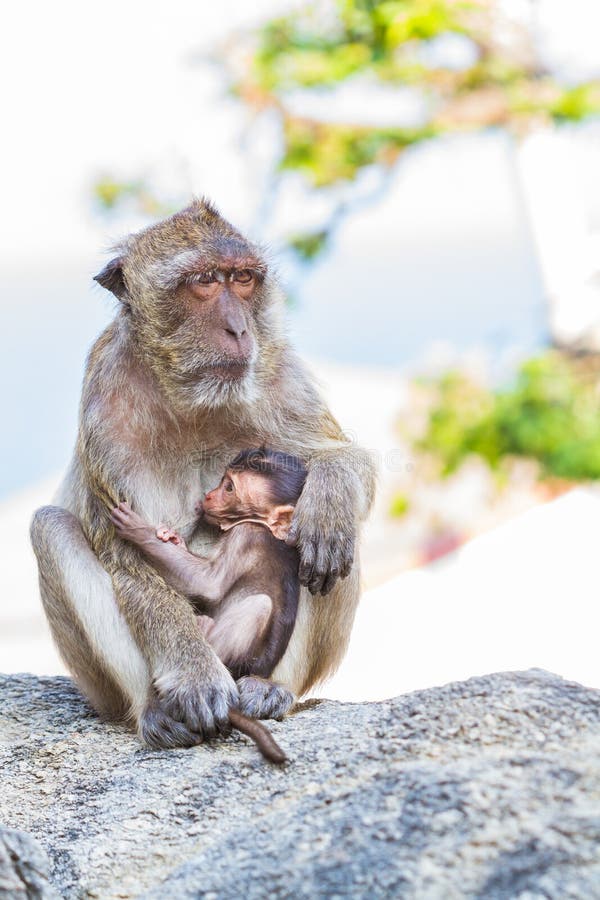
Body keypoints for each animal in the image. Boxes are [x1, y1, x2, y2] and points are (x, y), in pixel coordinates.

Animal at [30, 198, 376, 752]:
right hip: (100, 688)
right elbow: (130, 559)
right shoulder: (106, 405)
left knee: (331, 542)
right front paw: (195, 677)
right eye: (205, 281)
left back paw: (272, 687)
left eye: (242, 279)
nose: (239, 329)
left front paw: (329, 495)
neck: (189, 394)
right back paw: (153, 710)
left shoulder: (280, 374)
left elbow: (344, 457)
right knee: (51, 526)